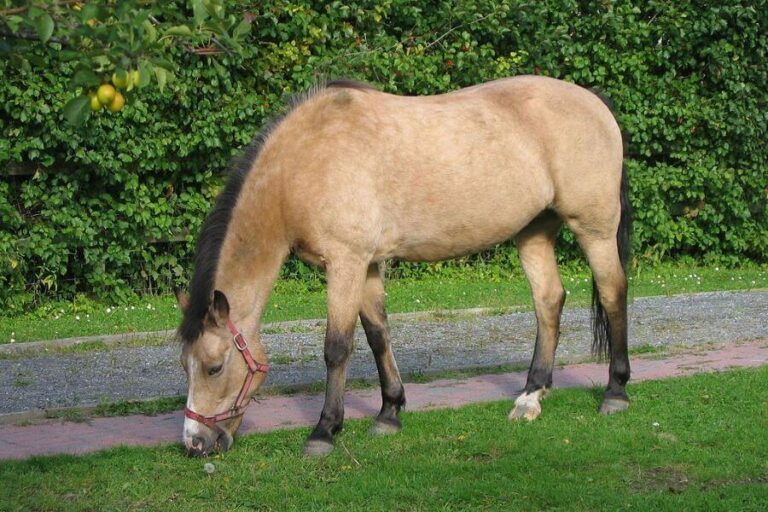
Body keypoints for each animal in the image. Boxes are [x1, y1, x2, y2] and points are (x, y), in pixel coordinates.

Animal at [175, 75, 632, 457]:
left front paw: (325, 430)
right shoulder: (367, 265)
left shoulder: (345, 262)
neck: (303, 164)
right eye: (185, 366)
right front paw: (389, 413)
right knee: (548, 301)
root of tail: (595, 102)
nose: (195, 443)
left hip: (594, 228)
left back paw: (615, 393)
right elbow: (378, 335)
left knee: (613, 293)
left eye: (215, 367)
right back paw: (531, 397)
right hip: (534, 232)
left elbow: (336, 347)